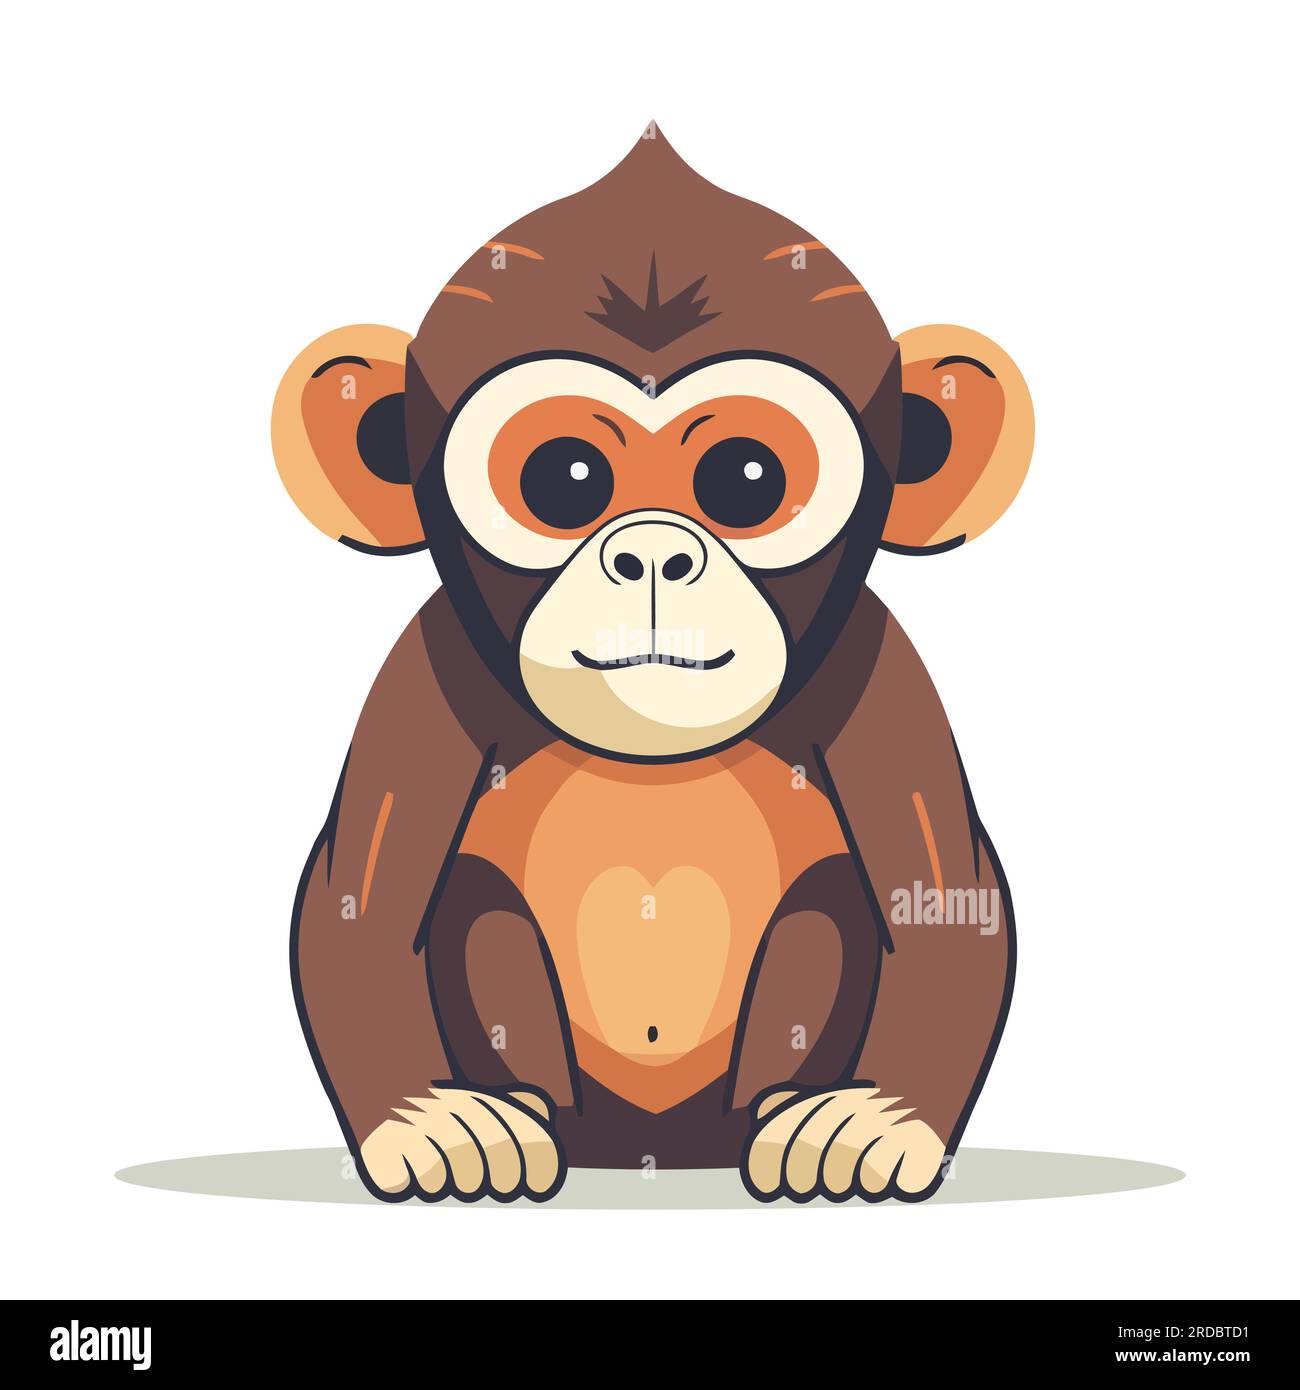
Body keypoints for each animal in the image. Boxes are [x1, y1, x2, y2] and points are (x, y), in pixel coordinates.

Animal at [271, 127, 1033, 1204]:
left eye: (747, 479)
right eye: (563, 478)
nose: (654, 555)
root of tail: (655, 1153)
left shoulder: (885, 672)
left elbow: (938, 895)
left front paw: (877, 1120)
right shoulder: (420, 672)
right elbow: (365, 900)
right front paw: (427, 1121)